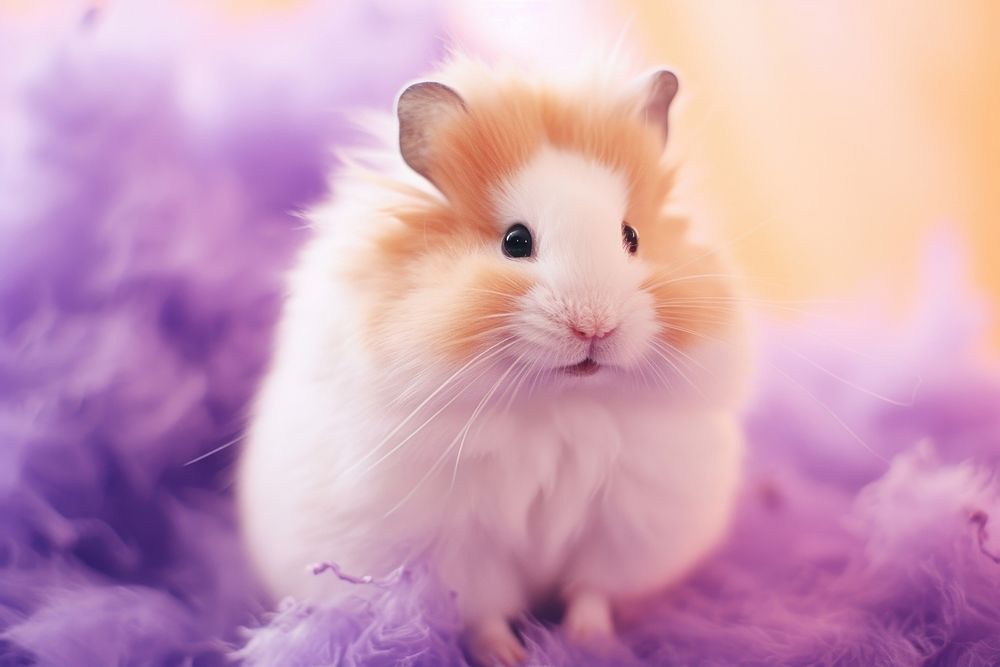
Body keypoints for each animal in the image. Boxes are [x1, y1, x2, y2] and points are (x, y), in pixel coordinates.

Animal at [238, 57, 750, 666]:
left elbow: (591, 593)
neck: (556, 404)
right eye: (515, 241)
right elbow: (483, 613)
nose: (595, 327)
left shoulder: (623, 530)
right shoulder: (457, 548)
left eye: (631, 236)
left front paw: (589, 643)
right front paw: (513, 656)